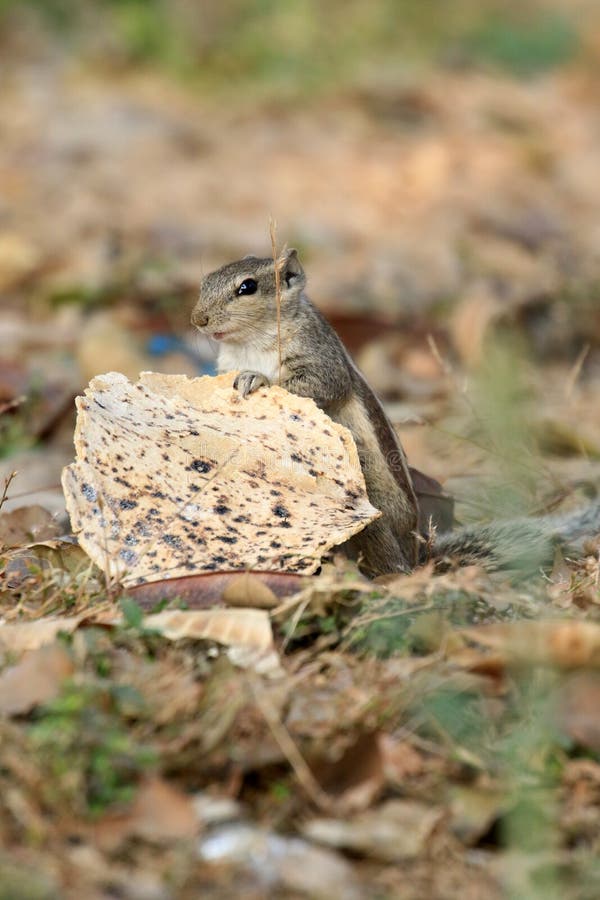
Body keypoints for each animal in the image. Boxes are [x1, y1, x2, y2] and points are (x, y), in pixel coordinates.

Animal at [191, 249, 600, 577]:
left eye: (247, 287)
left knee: (391, 564)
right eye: (205, 281)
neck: (247, 344)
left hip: (371, 518)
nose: (198, 320)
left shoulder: (319, 358)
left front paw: (257, 379)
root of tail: (418, 554)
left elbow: (320, 386)